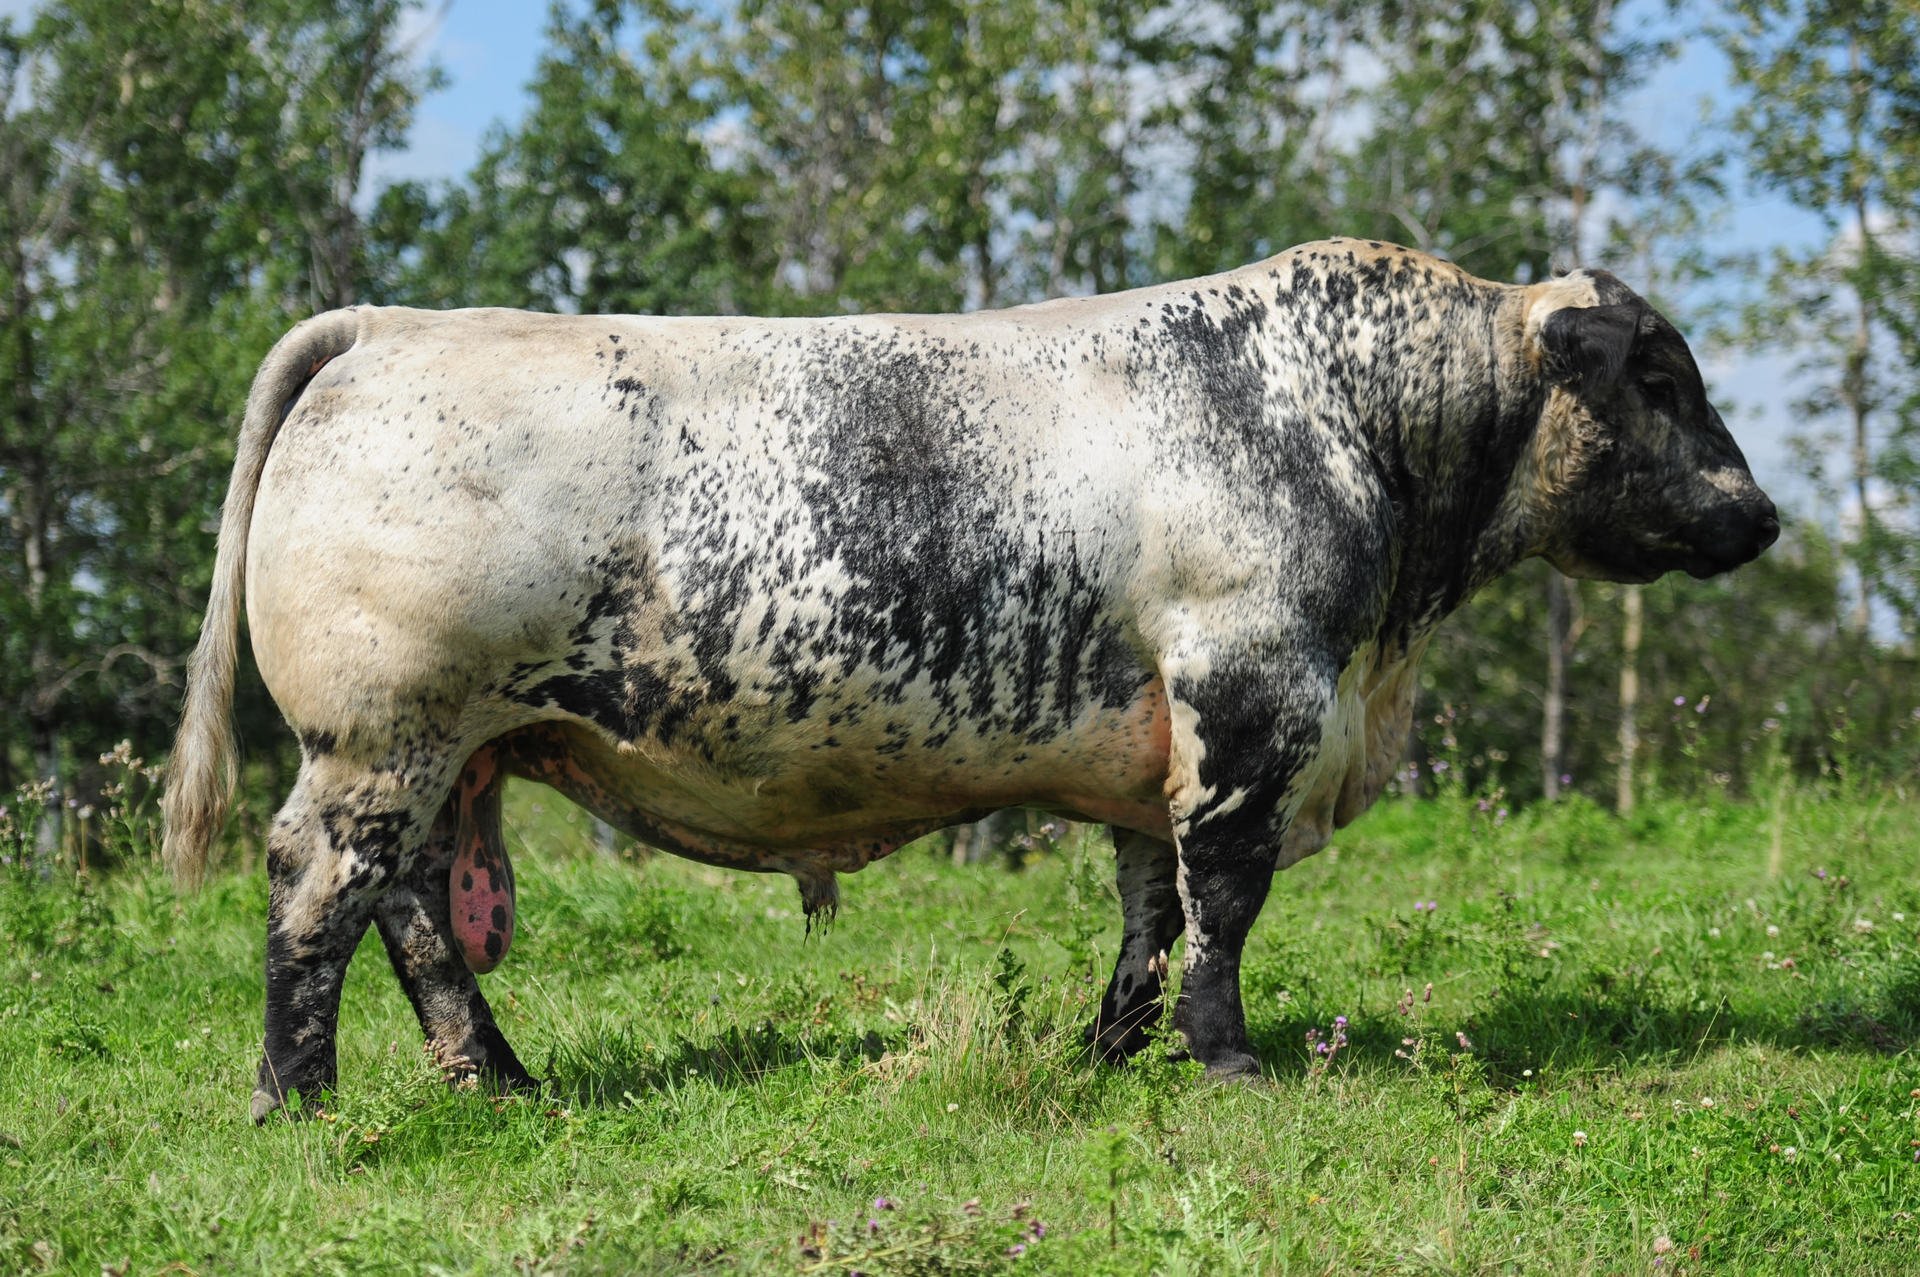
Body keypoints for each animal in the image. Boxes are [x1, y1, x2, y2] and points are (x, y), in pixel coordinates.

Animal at [162, 239, 1778, 1121]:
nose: (1759, 515)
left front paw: (1112, 1053)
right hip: (380, 735)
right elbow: (1224, 902)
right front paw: (1231, 1063)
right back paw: (299, 1097)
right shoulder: (1249, 701)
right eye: (1660, 374)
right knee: (318, 890)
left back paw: (493, 1076)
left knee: (418, 913)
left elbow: (1150, 913)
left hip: (444, 753)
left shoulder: (1152, 741)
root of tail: (392, 324)